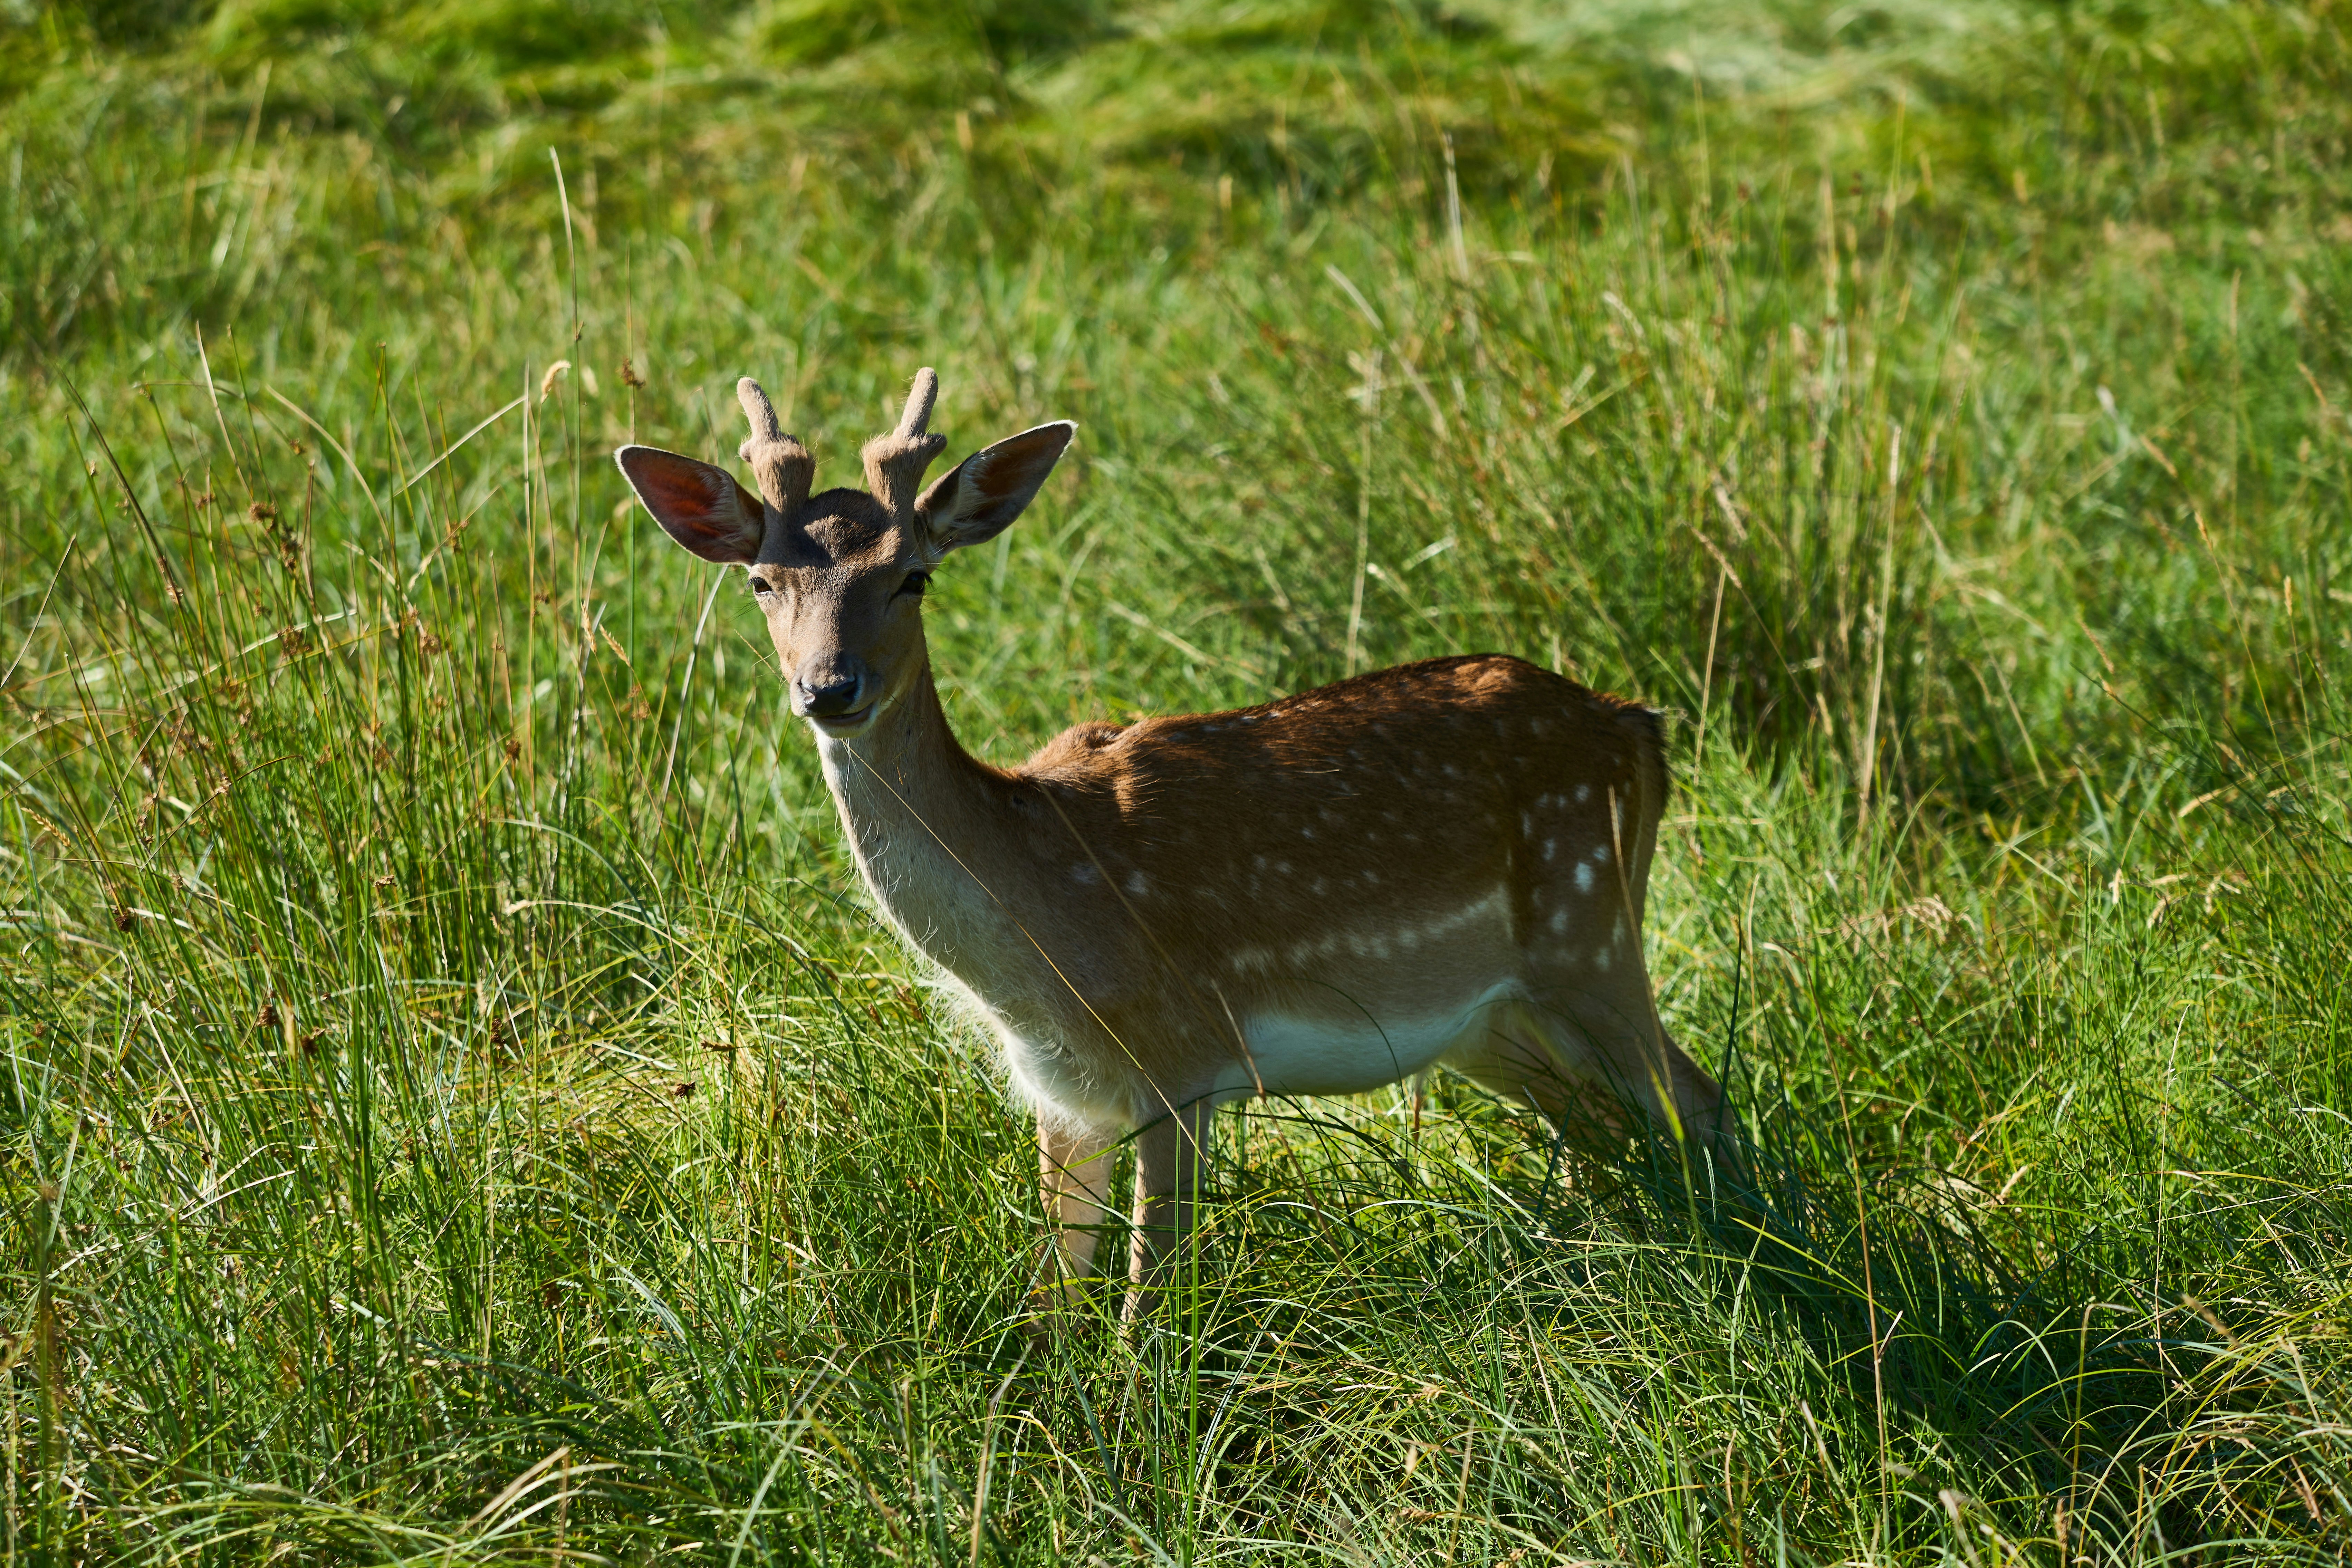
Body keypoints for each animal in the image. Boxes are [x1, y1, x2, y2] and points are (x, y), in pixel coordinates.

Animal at [616, 368, 1733, 1324]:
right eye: (761, 582)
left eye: (914, 578)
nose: (830, 688)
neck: (1036, 947)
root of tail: (1639, 724)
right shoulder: (1062, 1096)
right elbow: (1050, 1301)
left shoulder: (1183, 1055)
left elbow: (1144, 1308)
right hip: (1490, 1018)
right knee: (1598, 1124)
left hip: (1590, 928)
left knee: (1698, 1101)